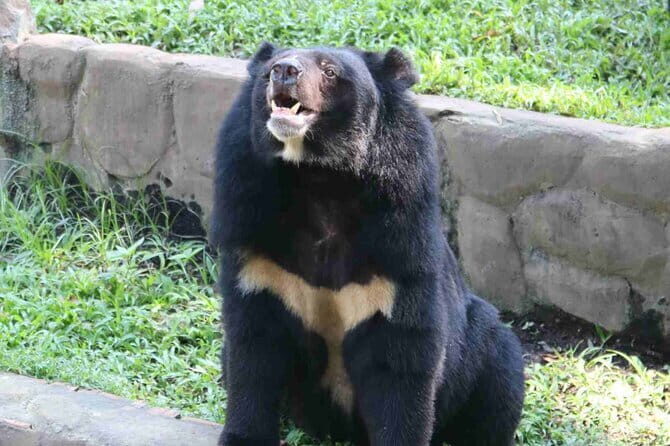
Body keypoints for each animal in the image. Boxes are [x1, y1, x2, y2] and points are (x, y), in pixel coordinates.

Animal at [210, 42, 525, 446]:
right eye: (270, 69)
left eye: (329, 71)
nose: (284, 71)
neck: (318, 176)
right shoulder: (253, 230)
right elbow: (254, 345)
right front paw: (244, 436)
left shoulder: (398, 243)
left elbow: (400, 362)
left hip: (479, 345)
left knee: (501, 376)